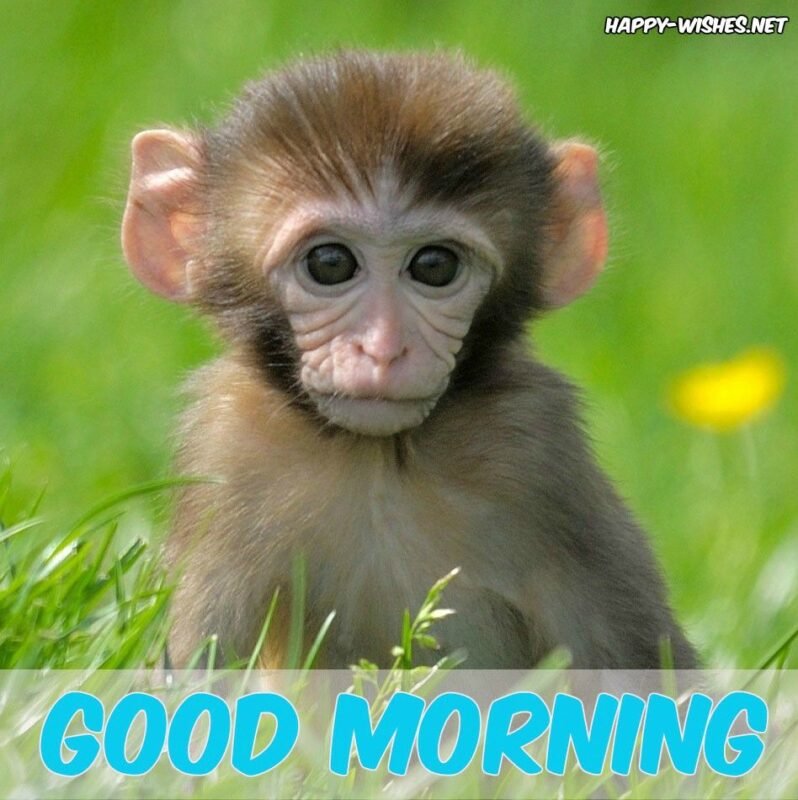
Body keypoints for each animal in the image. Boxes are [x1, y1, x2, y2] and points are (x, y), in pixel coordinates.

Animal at [121, 50, 697, 670]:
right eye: (329, 262)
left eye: (435, 266)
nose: (383, 348)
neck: (378, 458)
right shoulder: (227, 447)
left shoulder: (540, 453)